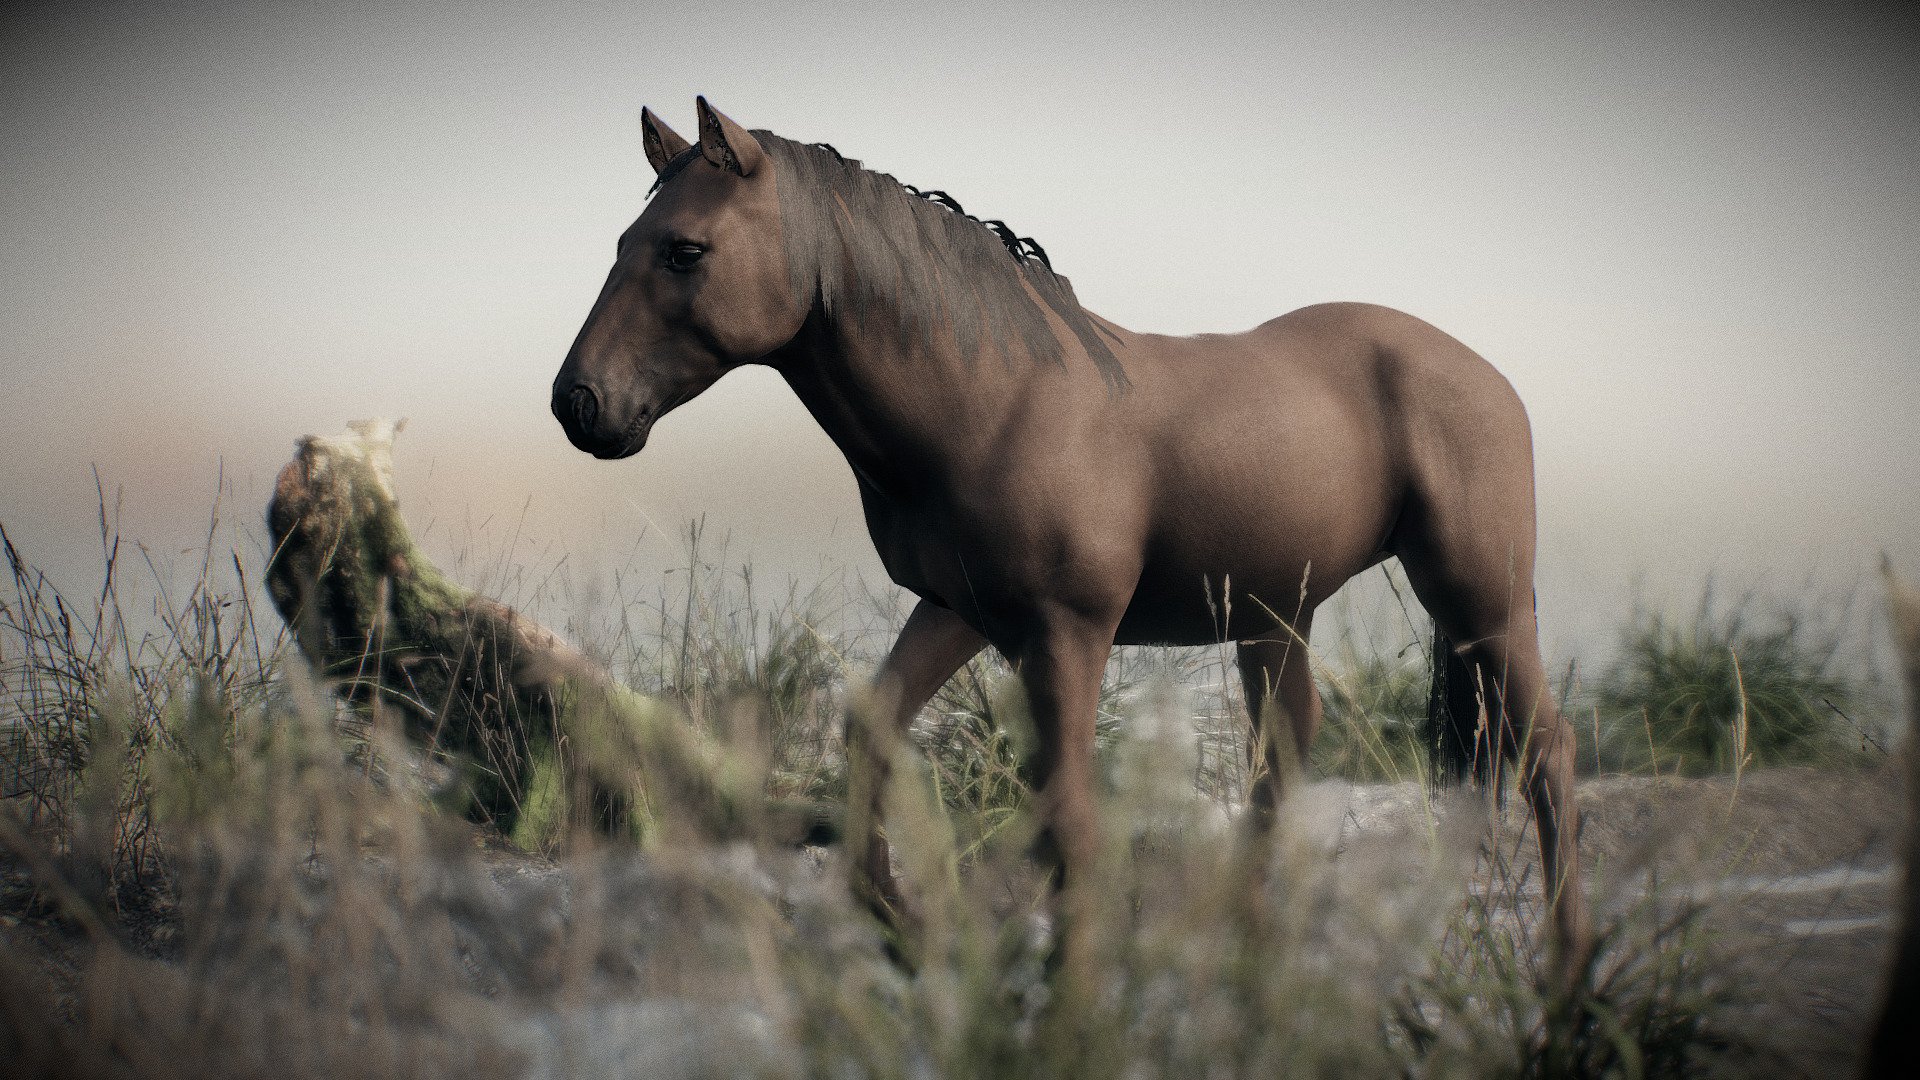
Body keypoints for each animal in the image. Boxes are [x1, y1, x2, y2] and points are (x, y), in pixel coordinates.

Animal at [551, 97, 1591, 983]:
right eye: (624, 243)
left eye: (686, 250)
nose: (579, 405)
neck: (995, 402)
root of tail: (1488, 375)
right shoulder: (961, 612)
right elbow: (871, 731)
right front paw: (906, 935)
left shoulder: (1066, 634)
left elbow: (1069, 825)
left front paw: (1070, 1000)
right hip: (1274, 616)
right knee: (1285, 757)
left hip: (1481, 603)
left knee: (1547, 752)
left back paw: (1567, 975)